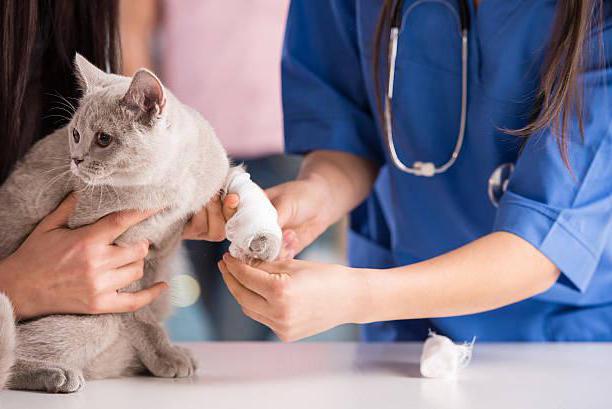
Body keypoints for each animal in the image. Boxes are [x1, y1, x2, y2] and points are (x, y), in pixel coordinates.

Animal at [0, 55, 284, 392]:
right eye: (76, 134)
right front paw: (166, 358)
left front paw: (261, 242)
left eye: (103, 139)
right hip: (97, 320)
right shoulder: (119, 257)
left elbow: (246, 190)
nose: (76, 160)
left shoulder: (220, 175)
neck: (167, 186)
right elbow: (142, 317)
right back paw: (59, 375)